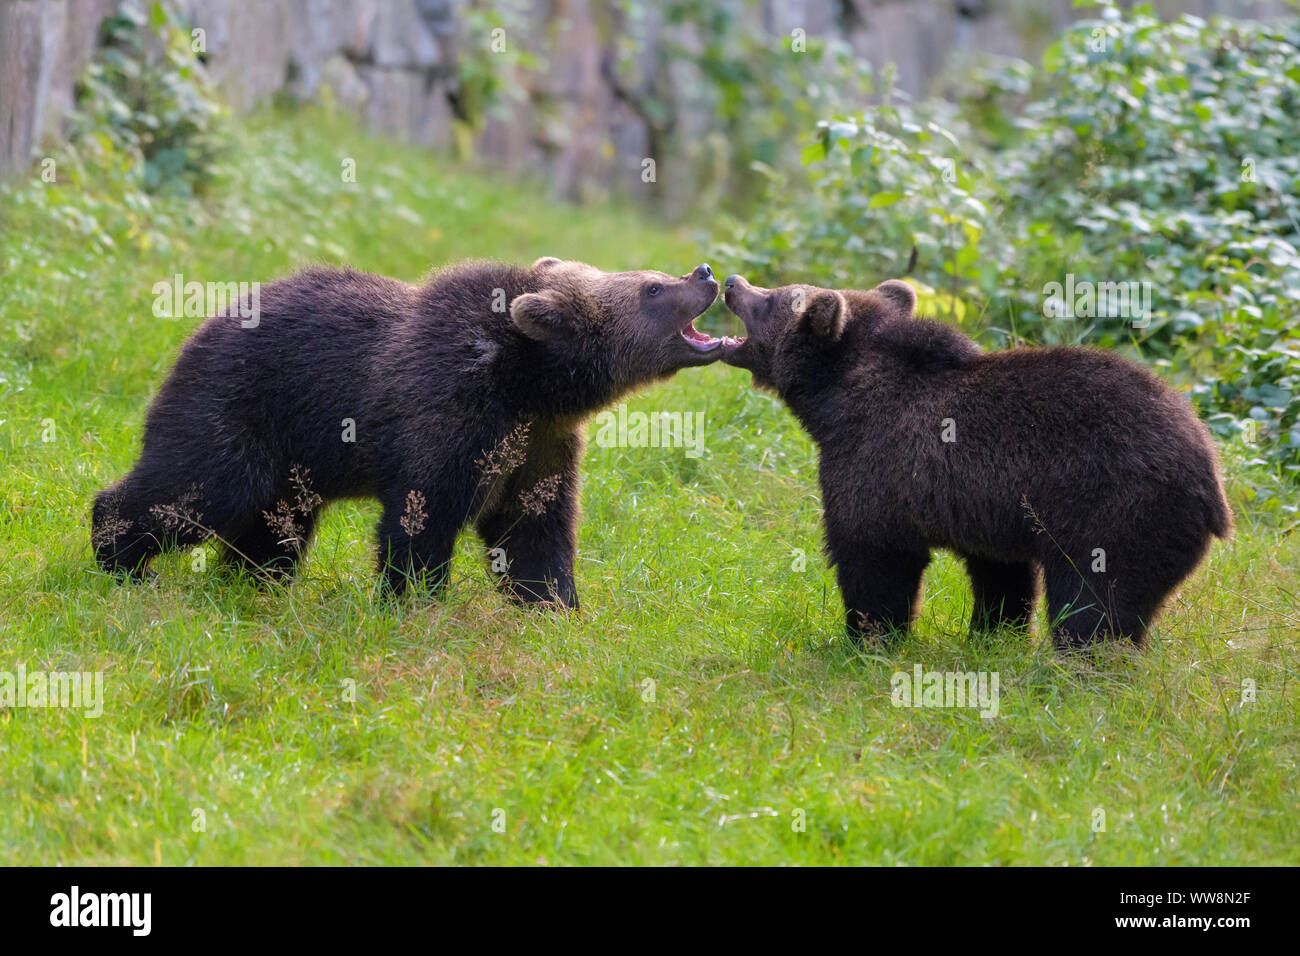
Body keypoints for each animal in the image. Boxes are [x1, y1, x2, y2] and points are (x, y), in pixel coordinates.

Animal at [92, 257, 724, 607]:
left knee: (275, 525)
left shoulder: (540, 445)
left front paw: (552, 605)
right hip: (244, 405)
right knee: (201, 485)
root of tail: (201, 326)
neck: (527, 385)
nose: (705, 273)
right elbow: (421, 518)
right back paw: (120, 558)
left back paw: (257, 582)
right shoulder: (450, 412)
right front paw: (411, 597)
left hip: (293, 459)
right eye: (650, 288)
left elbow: (534, 527)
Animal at [720, 273, 1231, 650]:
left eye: (774, 297)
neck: (834, 402)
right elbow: (1001, 577)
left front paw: (866, 638)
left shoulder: (877, 464)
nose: (731, 281)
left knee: (1095, 601)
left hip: (1112, 508)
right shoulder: (990, 506)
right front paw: (993, 634)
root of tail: (1210, 477)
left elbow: (873, 555)